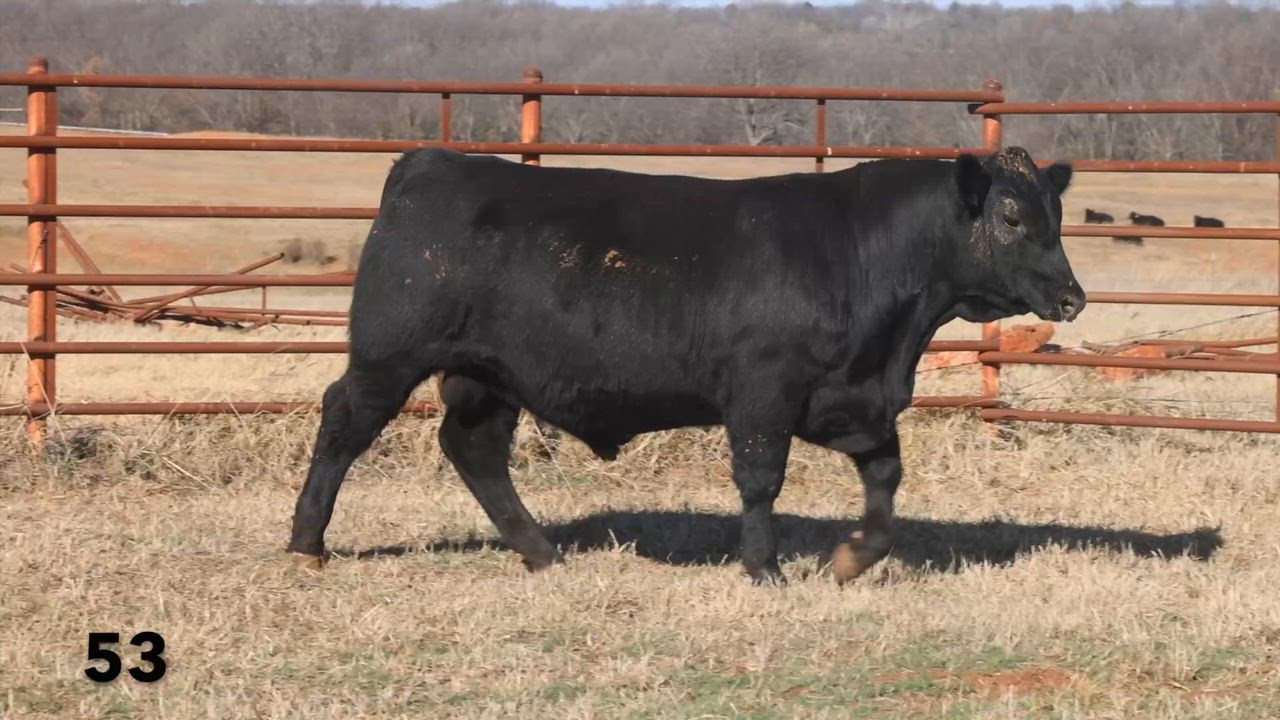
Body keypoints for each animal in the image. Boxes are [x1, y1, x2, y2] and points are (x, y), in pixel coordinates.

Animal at [286, 145, 1085, 586]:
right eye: (1012, 216)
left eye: (1054, 213)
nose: (1072, 297)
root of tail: (430, 163)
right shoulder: (762, 392)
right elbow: (761, 480)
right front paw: (764, 568)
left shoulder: (851, 398)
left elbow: (886, 479)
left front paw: (854, 558)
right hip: (389, 356)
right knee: (343, 426)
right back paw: (306, 546)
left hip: (486, 376)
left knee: (473, 449)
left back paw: (541, 552)